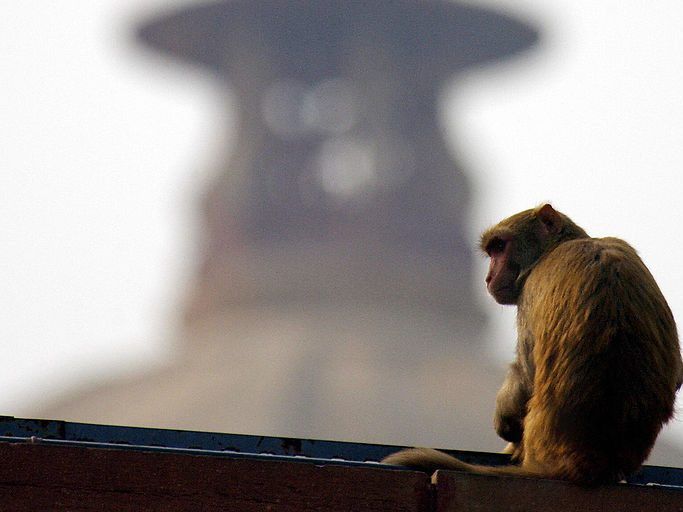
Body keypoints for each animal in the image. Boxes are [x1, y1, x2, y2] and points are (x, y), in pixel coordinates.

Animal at [383, 204, 683, 484]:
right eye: (492, 251)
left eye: (499, 247)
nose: (488, 278)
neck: (556, 248)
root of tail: (587, 464)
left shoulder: (531, 290)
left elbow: (527, 372)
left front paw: (504, 421)